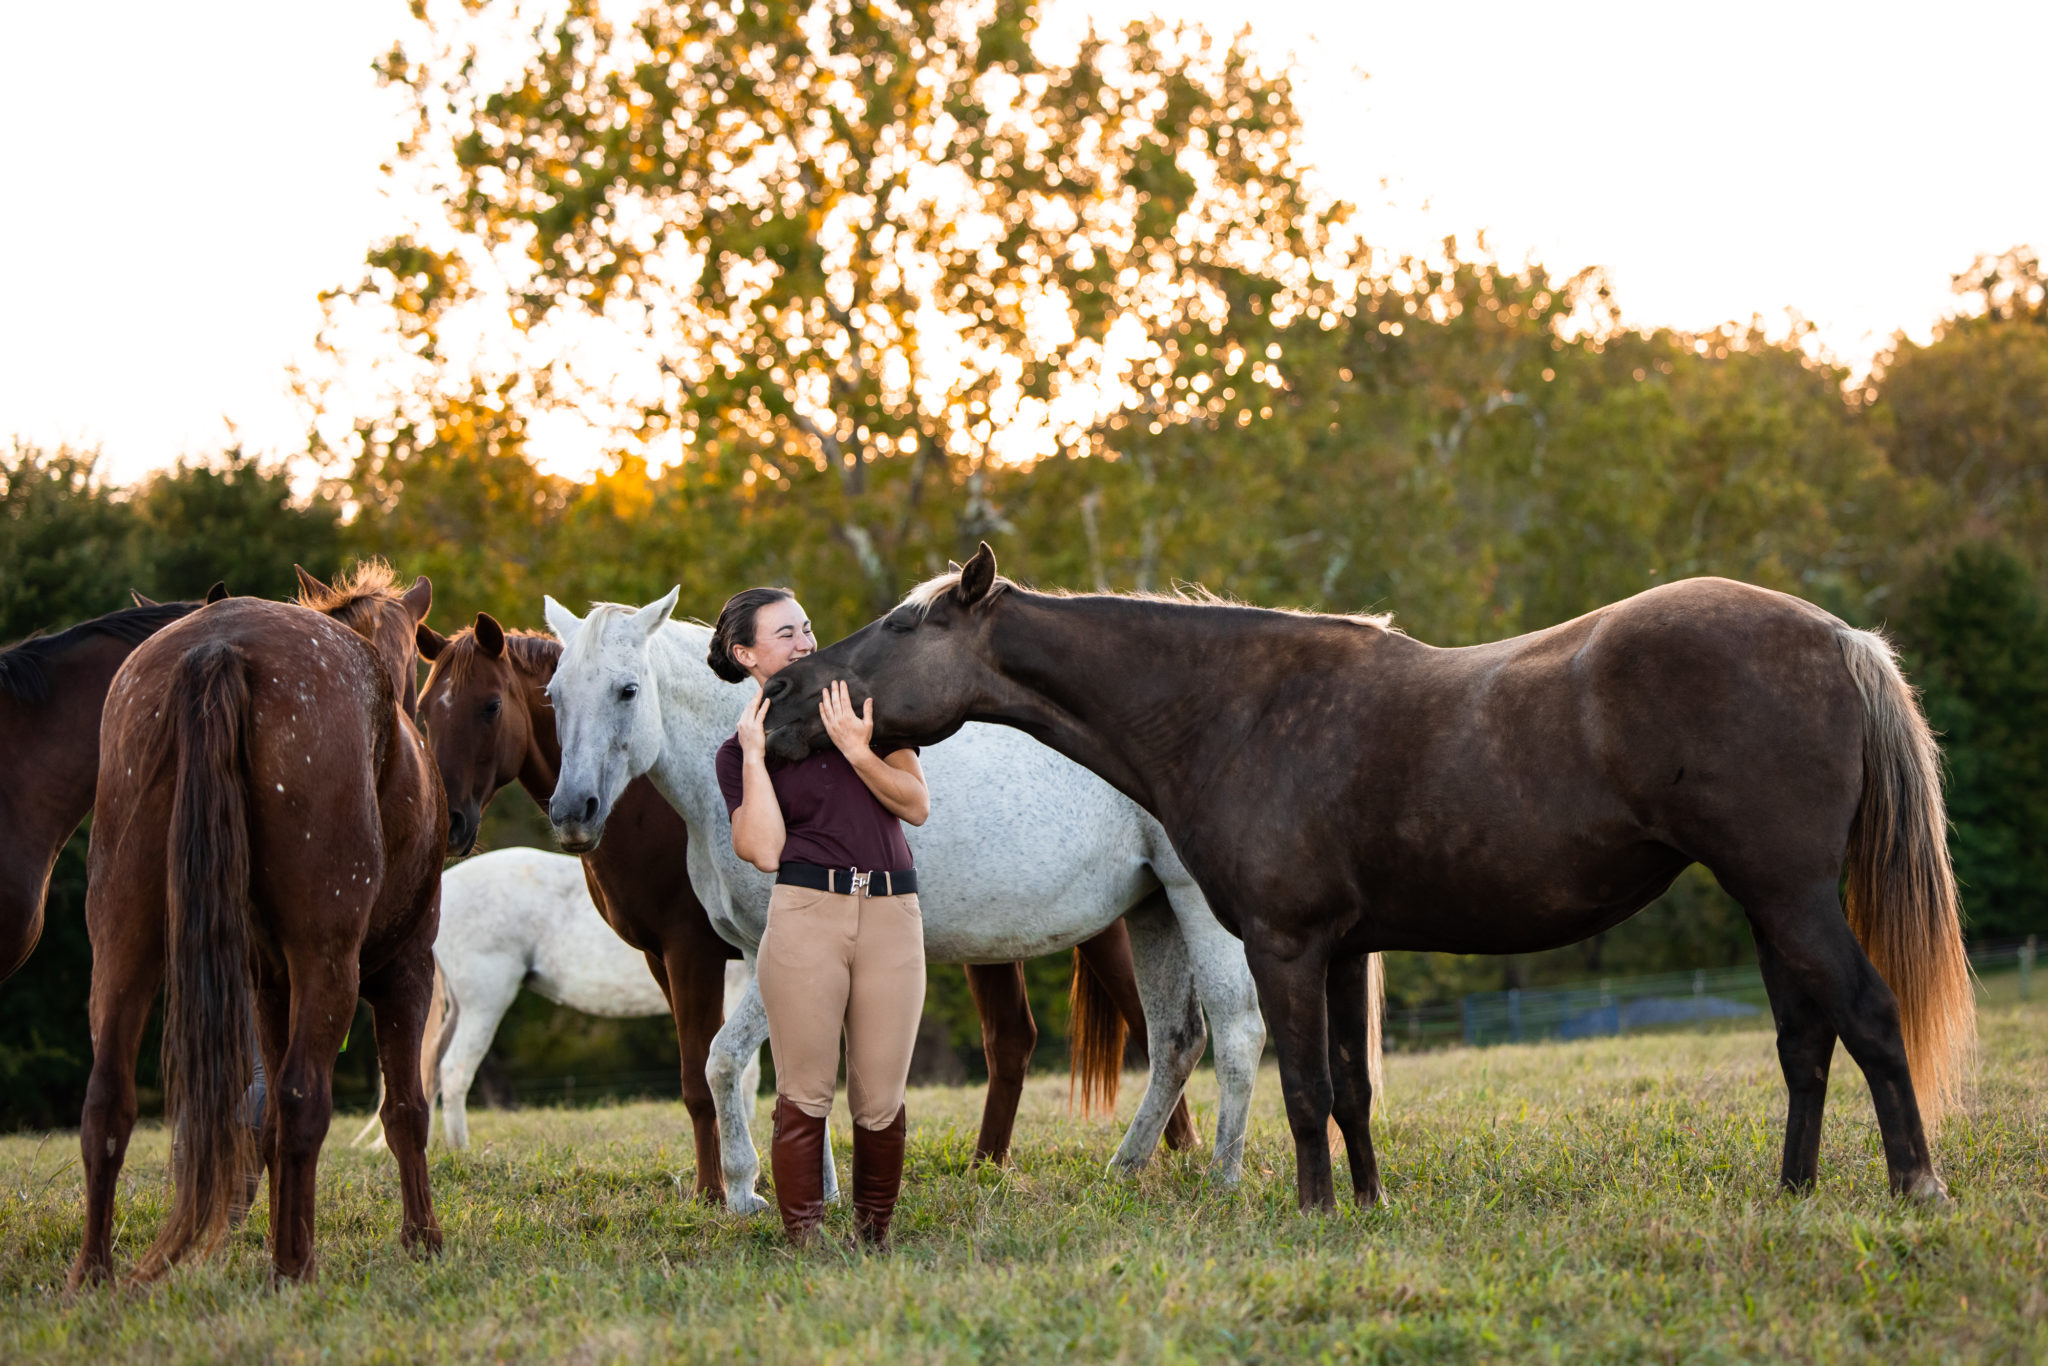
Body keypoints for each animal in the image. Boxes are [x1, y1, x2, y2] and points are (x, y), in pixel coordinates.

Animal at [69, 563, 446, 1286]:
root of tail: (218, 647)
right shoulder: (404, 972)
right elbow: (405, 1111)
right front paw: (423, 1239)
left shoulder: (268, 985)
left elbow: (265, 1125)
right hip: (329, 962)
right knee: (304, 1098)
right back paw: (294, 1268)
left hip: (123, 943)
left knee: (107, 1101)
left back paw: (93, 1276)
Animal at [541, 594, 1328, 1213]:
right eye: (553, 696)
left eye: (627, 690)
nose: (573, 811)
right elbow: (799, 1071)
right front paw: (819, 1192)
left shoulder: (772, 950)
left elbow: (723, 1062)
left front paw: (743, 1193)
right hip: (1153, 911)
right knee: (1174, 1040)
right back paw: (1125, 1169)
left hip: (1196, 908)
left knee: (1235, 1033)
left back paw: (1223, 1179)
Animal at [760, 543, 1976, 1213]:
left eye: (903, 624)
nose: (782, 703)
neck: (1235, 711)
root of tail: (1839, 638)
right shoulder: (1343, 950)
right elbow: (1348, 1087)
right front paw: (1364, 1204)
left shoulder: (1286, 943)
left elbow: (1300, 1086)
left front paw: (1306, 1213)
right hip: (1769, 904)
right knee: (1805, 1043)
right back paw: (1795, 1192)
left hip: (1790, 896)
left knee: (1868, 1018)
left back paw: (1915, 1185)